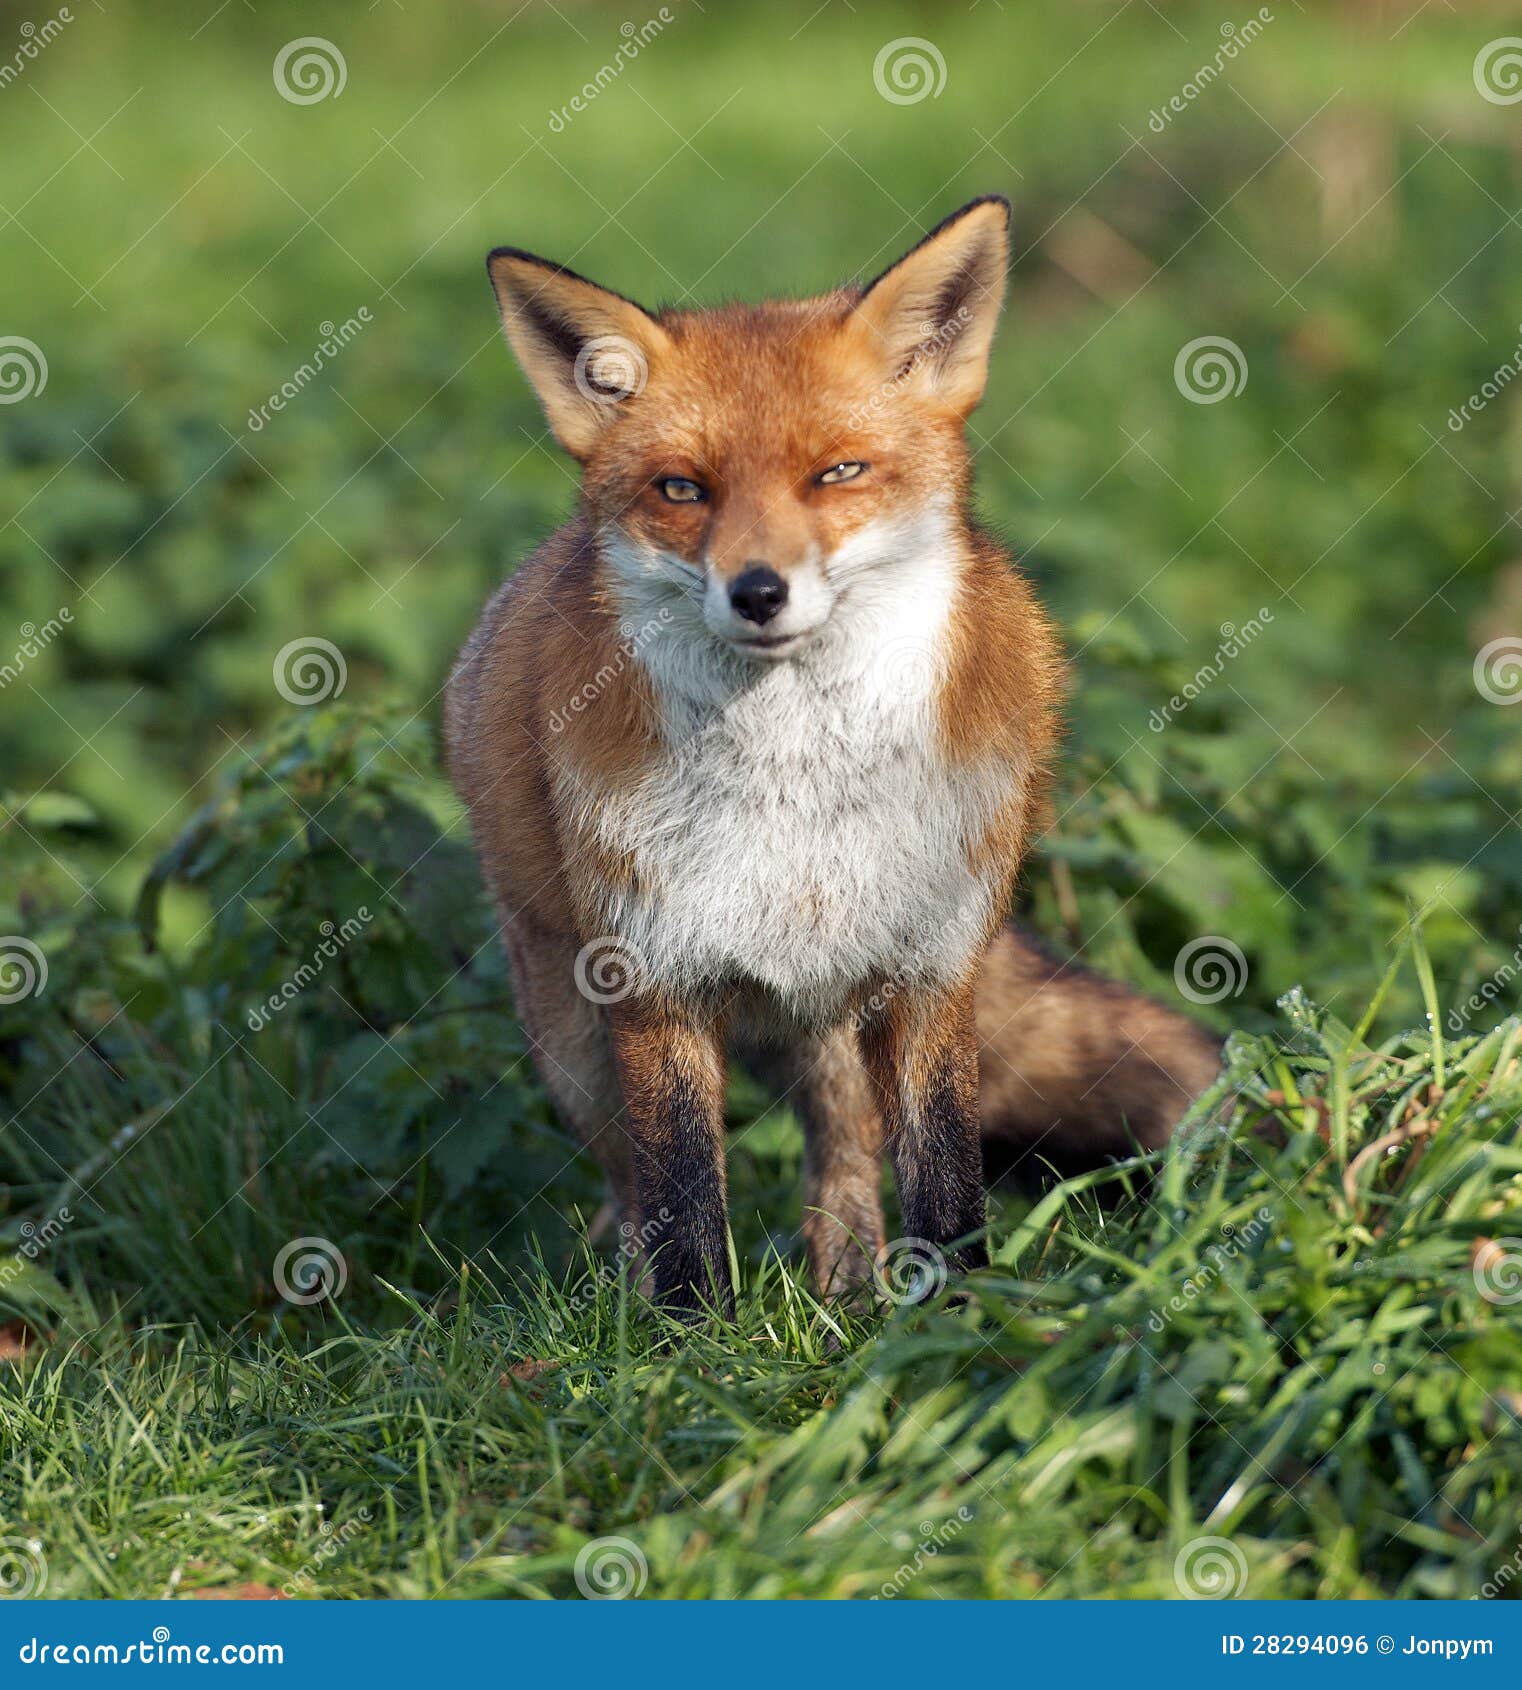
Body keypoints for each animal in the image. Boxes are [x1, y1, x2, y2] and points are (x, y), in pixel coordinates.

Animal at [445, 196, 1220, 1315]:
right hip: (570, 1039)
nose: (758, 591)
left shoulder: (934, 968)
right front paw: (689, 1343)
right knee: (629, 1181)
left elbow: (944, 1181)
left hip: (846, 1011)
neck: (797, 788)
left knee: (844, 1154)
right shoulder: (653, 983)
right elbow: (683, 1198)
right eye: (682, 489)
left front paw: (954, 1321)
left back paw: (848, 1295)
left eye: (838, 472)